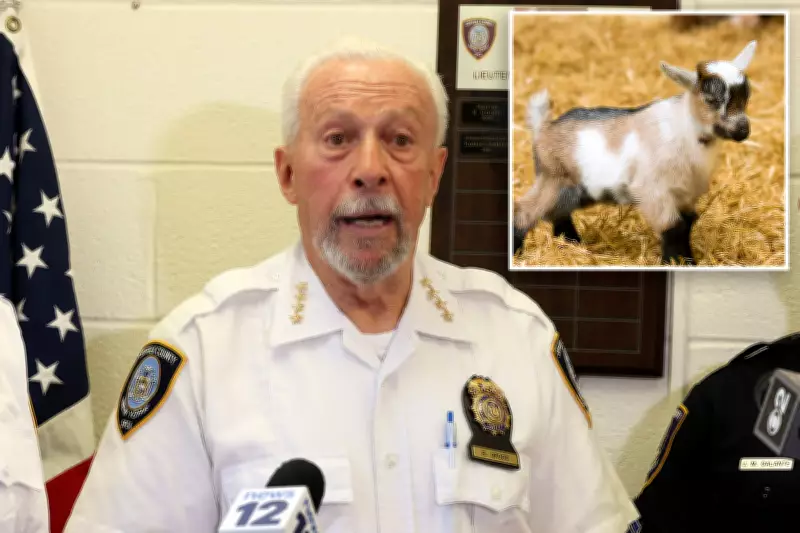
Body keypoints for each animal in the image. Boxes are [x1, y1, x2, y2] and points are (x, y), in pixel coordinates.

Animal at [512, 41, 757, 265]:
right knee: (524, 210)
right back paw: (519, 251)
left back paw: (573, 244)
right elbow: (674, 227)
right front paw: (673, 261)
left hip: (574, 188)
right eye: (712, 100)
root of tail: (542, 128)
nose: (742, 130)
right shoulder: (652, 191)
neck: (686, 128)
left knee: (558, 213)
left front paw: (687, 261)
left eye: (746, 97)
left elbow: (687, 223)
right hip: (553, 178)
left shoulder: (685, 193)